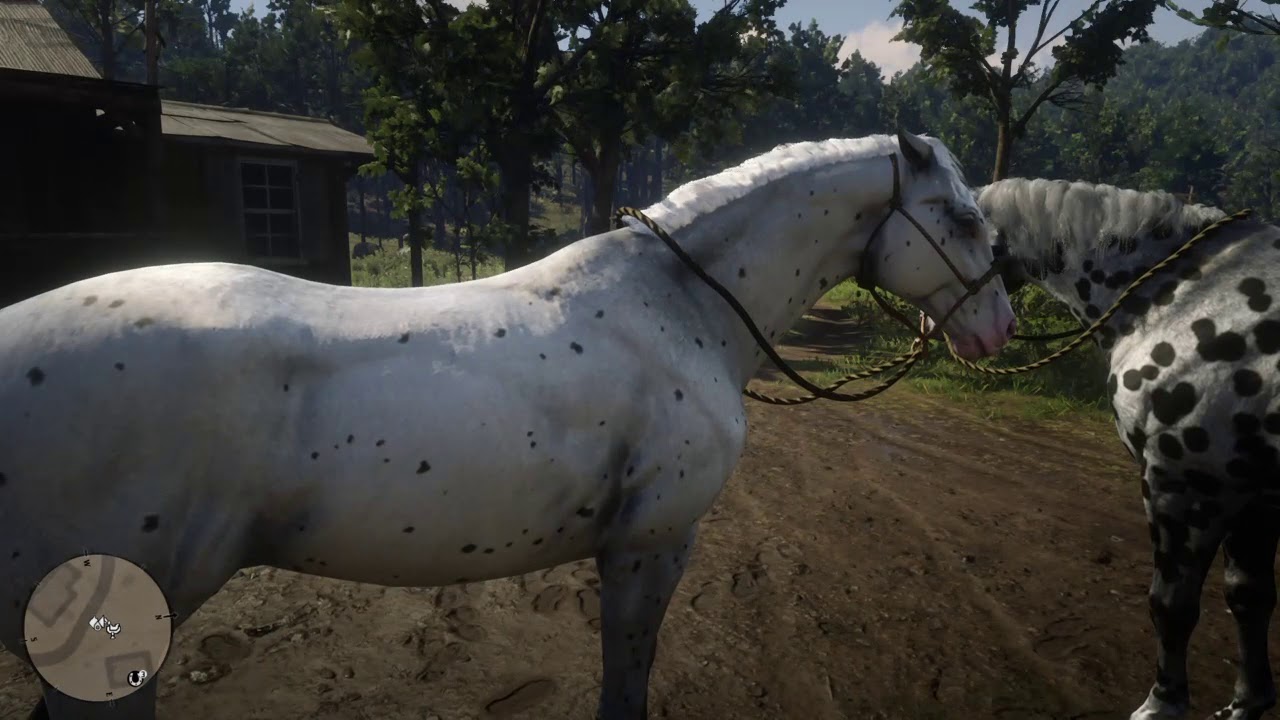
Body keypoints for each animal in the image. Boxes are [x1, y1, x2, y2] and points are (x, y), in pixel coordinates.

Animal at [975, 178, 1280, 720]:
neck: (1181, 293)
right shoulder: (1255, 500)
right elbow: (1249, 597)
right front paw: (1245, 704)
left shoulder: (1184, 489)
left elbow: (1172, 607)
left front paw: (1162, 704)